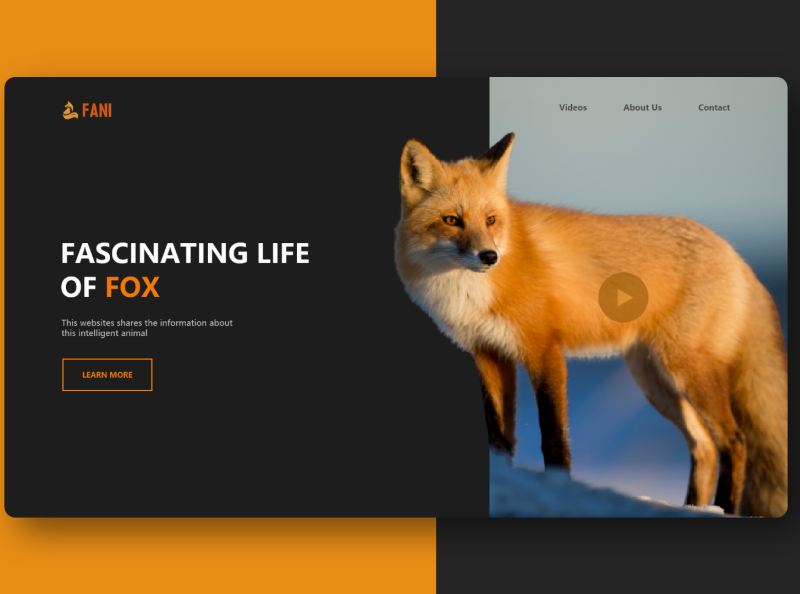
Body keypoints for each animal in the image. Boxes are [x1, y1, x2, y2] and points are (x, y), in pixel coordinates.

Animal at [394, 133, 788, 517]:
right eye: (452, 220)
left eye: (491, 220)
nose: (489, 256)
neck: (469, 291)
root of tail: (735, 254)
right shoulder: (489, 353)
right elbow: (499, 437)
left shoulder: (544, 349)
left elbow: (552, 435)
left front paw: (560, 486)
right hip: (654, 380)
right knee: (704, 446)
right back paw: (695, 507)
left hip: (685, 369)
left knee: (735, 442)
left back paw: (724, 507)